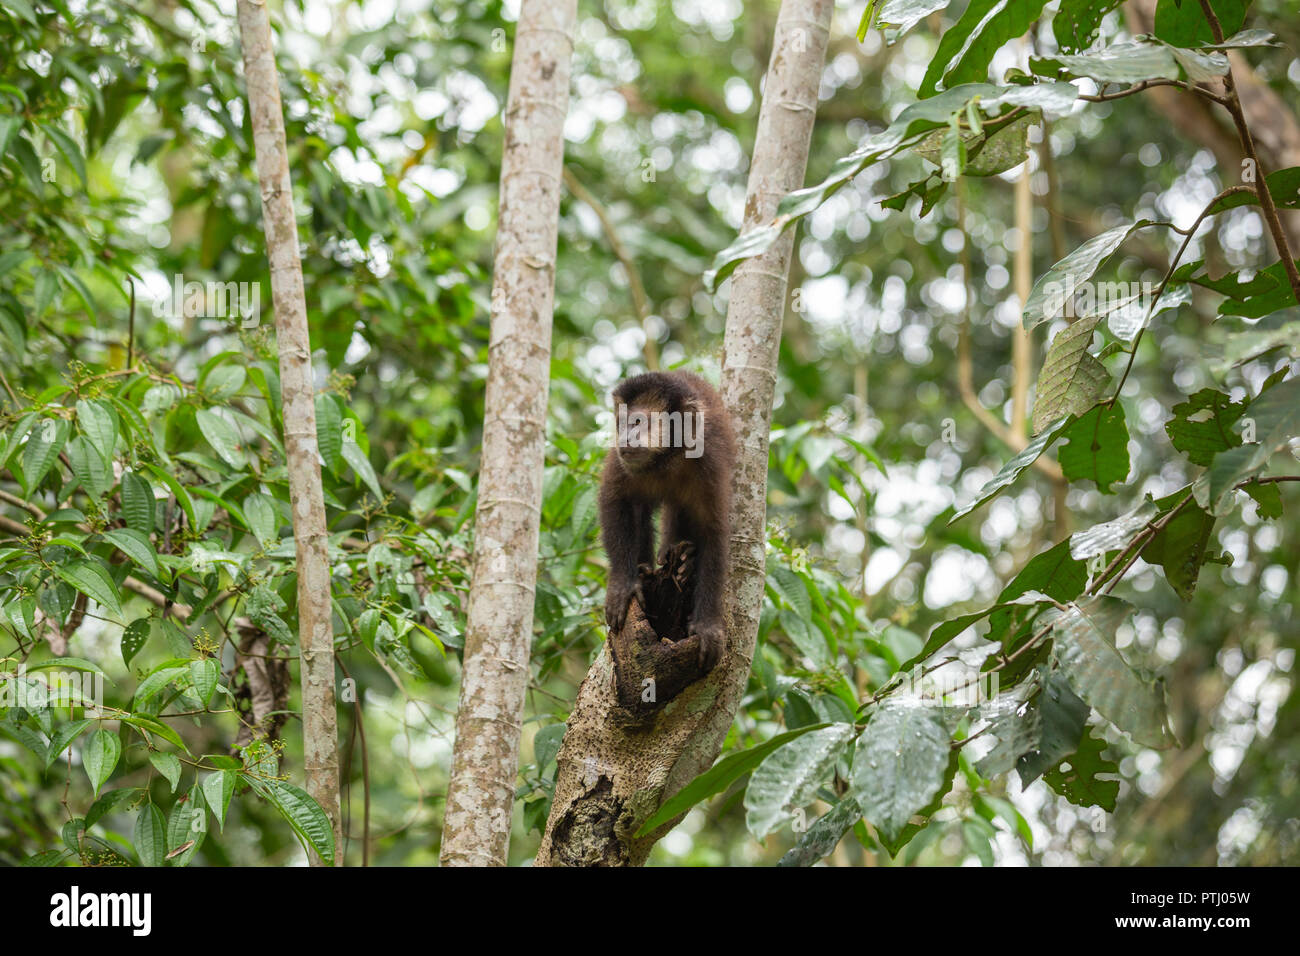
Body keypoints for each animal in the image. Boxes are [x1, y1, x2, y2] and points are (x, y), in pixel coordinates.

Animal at [598, 370, 735, 671]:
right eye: (621, 423)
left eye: (637, 422)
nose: (625, 435)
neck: (666, 459)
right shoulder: (621, 460)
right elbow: (614, 501)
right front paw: (623, 586)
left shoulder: (709, 461)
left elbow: (715, 532)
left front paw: (707, 625)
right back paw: (645, 569)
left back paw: (686, 560)